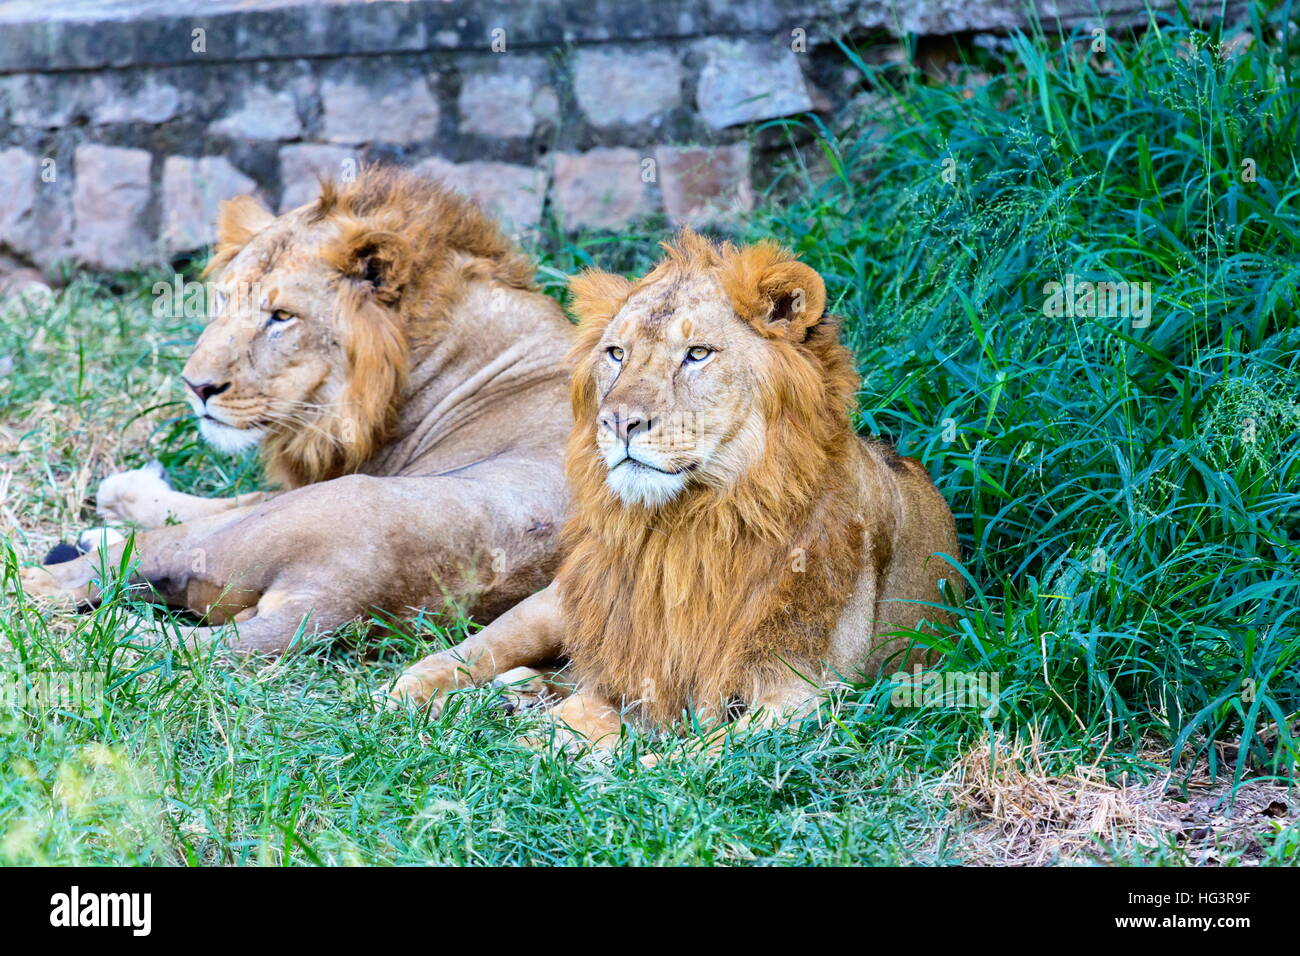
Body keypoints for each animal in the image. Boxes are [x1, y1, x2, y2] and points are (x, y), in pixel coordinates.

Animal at [19, 165, 574, 655]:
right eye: (225, 300)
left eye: (281, 316)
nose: (196, 386)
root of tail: (334, 600)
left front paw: (118, 497)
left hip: (253, 528)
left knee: (97, 570)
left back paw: (38, 574)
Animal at [386, 230, 962, 748]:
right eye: (616, 353)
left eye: (698, 353)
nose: (618, 421)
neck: (691, 521)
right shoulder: (627, 662)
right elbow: (592, 710)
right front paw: (554, 739)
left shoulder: (806, 695)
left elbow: (694, 757)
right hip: (555, 604)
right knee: (473, 651)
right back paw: (414, 694)